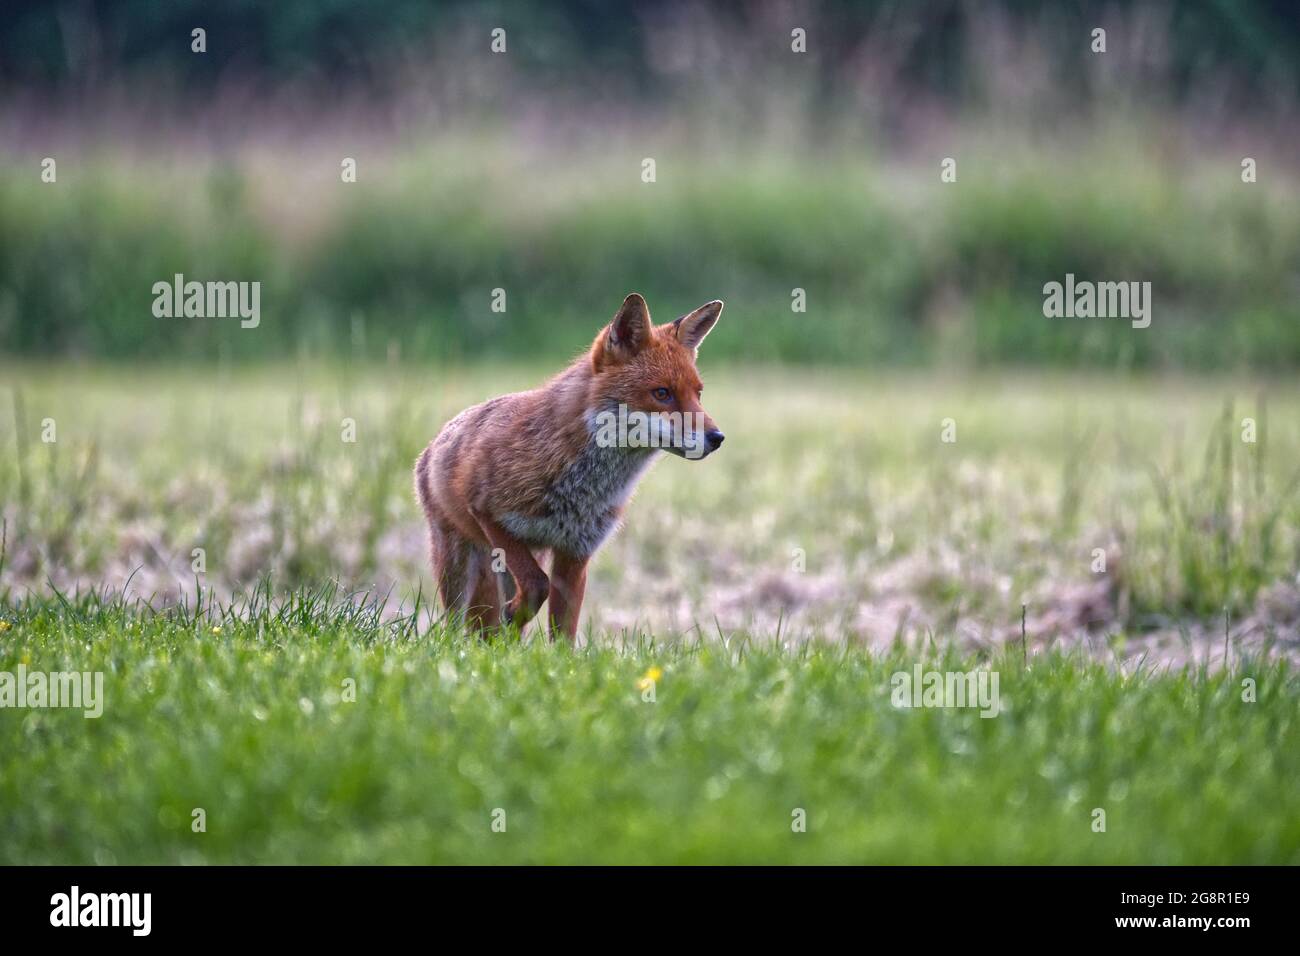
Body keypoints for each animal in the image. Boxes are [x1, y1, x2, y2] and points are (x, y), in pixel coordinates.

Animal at [414, 292, 725, 641]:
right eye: (662, 393)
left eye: (698, 394)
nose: (717, 437)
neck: (582, 487)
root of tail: (435, 442)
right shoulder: (487, 511)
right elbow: (537, 584)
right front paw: (514, 615)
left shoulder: (575, 552)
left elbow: (563, 634)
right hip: (459, 560)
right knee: (455, 625)